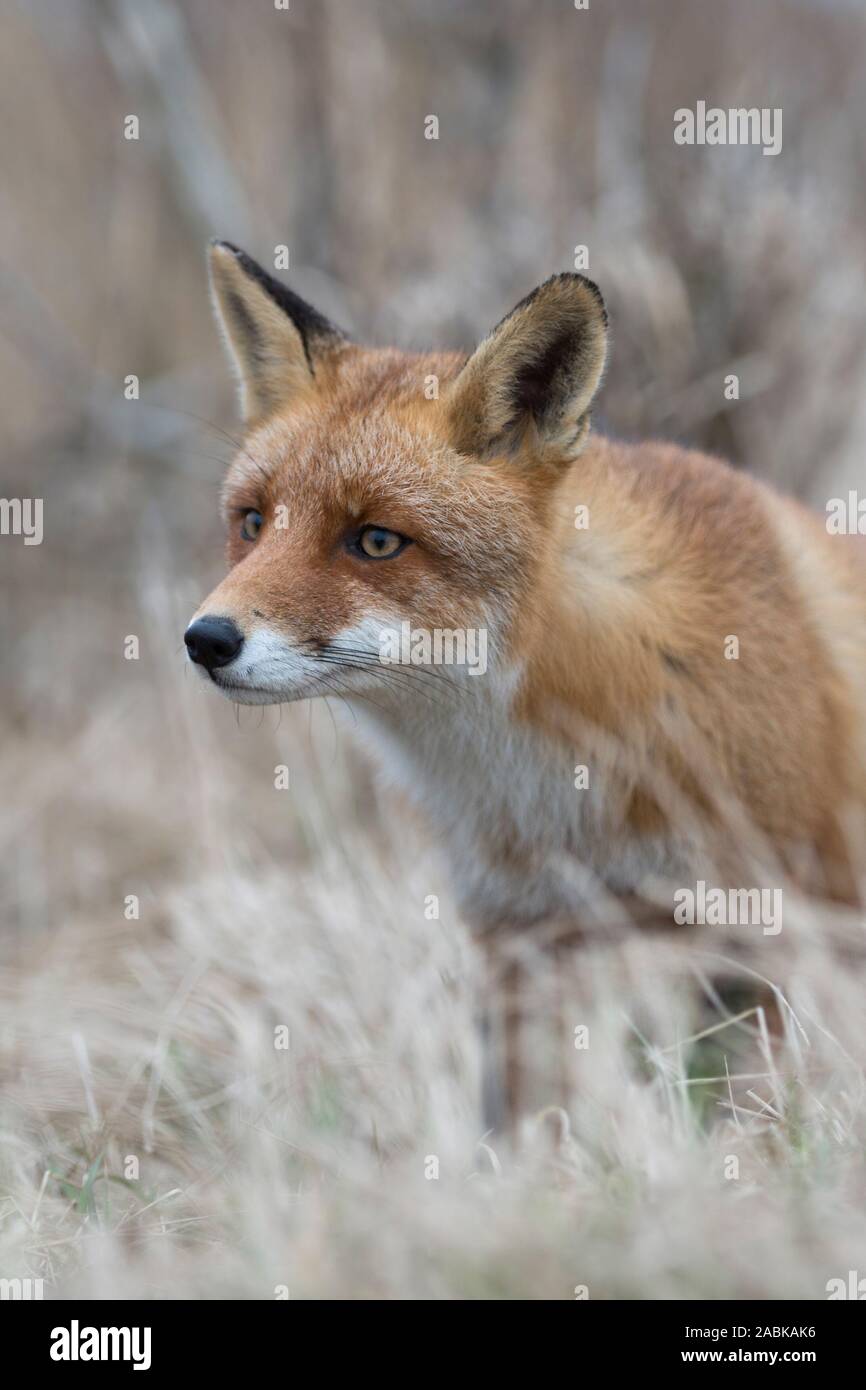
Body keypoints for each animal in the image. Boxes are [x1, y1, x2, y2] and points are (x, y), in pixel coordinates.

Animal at [187, 241, 866, 1122]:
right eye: (253, 523)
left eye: (375, 540)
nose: (205, 639)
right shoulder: (517, 936)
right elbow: (518, 1119)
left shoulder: (775, 922)